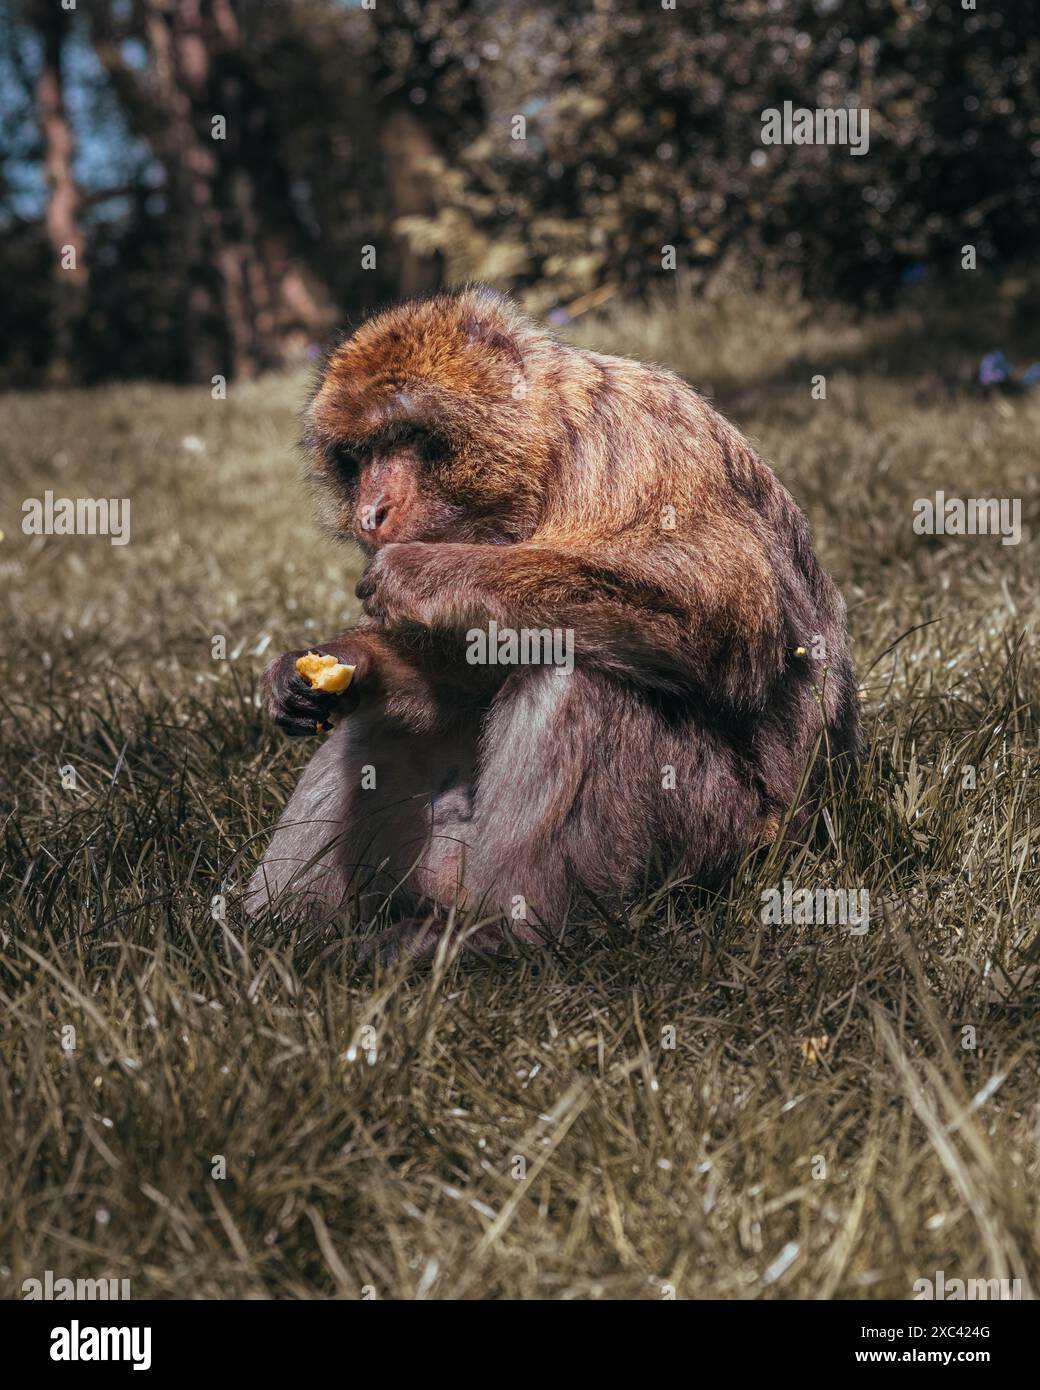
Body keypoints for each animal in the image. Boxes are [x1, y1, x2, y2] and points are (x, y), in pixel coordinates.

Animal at [247, 285, 861, 955]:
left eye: (406, 435)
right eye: (357, 457)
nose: (369, 513)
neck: (545, 462)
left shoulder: (638, 443)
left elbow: (719, 617)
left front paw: (421, 572)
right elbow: (472, 675)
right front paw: (340, 662)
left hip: (720, 837)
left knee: (583, 674)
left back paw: (510, 929)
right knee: (386, 731)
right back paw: (273, 936)